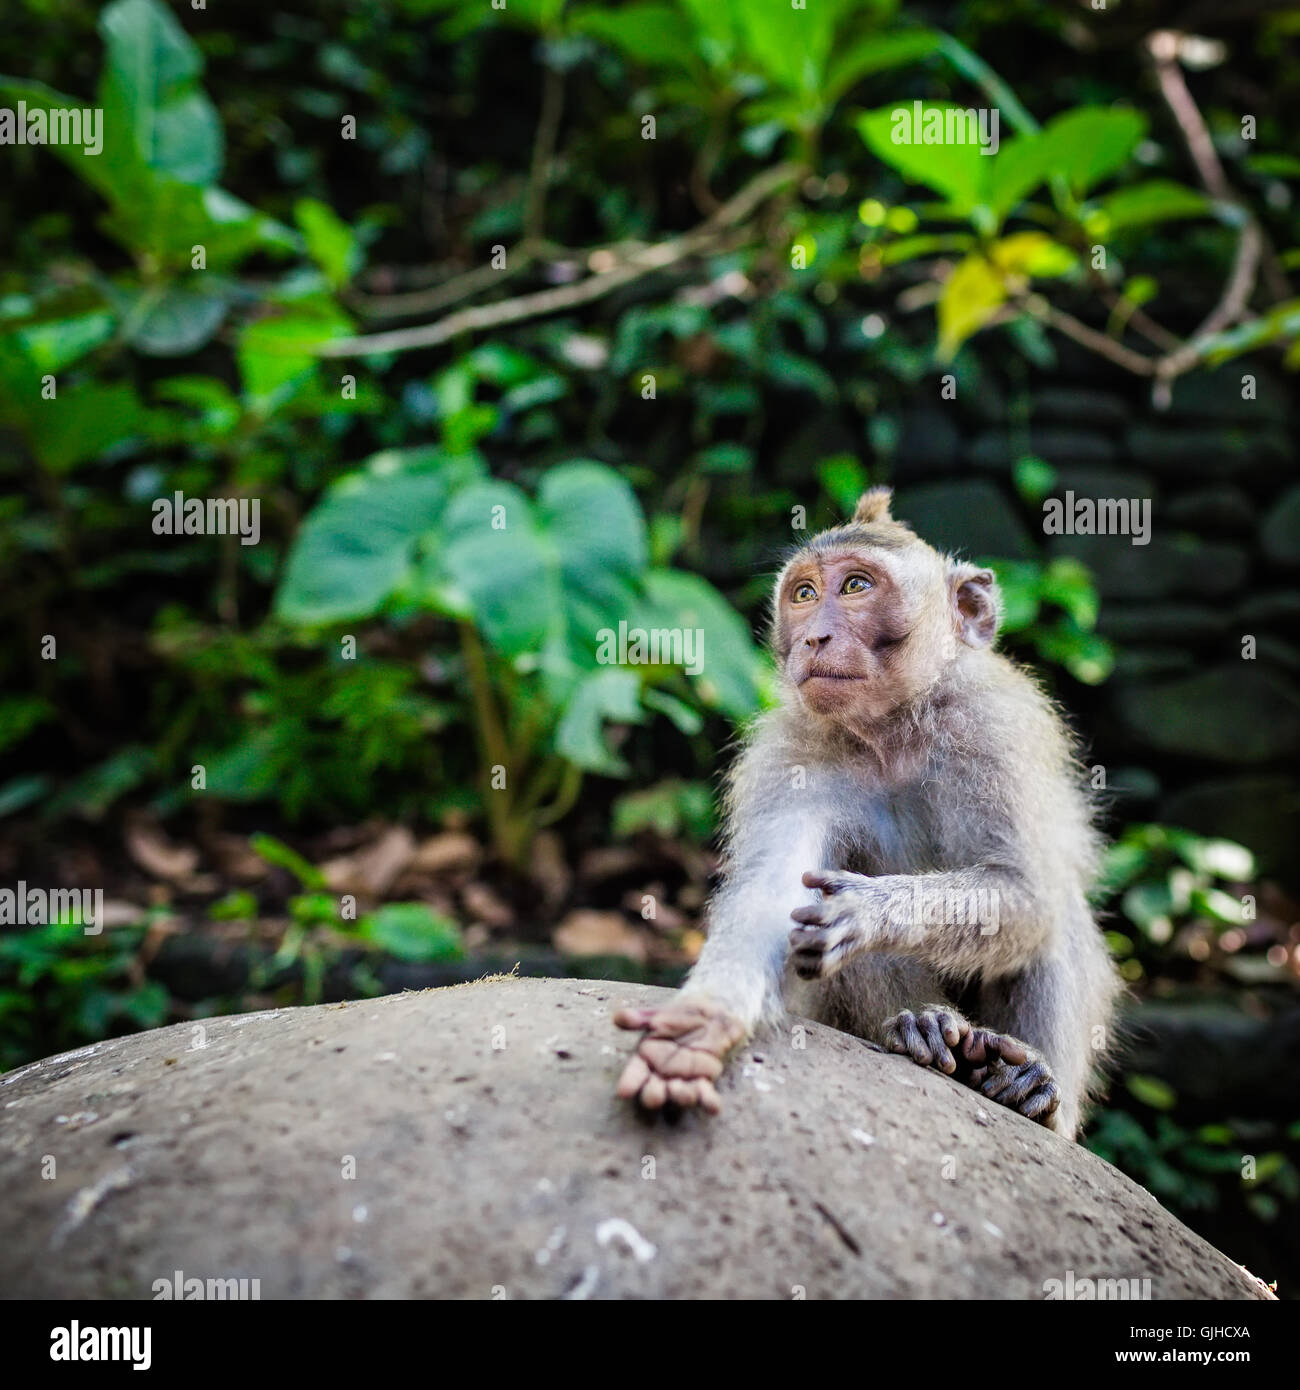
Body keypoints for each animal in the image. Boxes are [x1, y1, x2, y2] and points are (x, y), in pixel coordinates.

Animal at [614, 487, 1121, 1140]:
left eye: (856, 586)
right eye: (805, 594)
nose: (815, 638)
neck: (892, 732)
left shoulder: (994, 728)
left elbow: (1027, 893)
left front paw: (868, 910)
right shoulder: (792, 756)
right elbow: (773, 899)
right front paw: (698, 1028)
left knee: (1056, 914)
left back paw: (1029, 1086)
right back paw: (921, 1028)